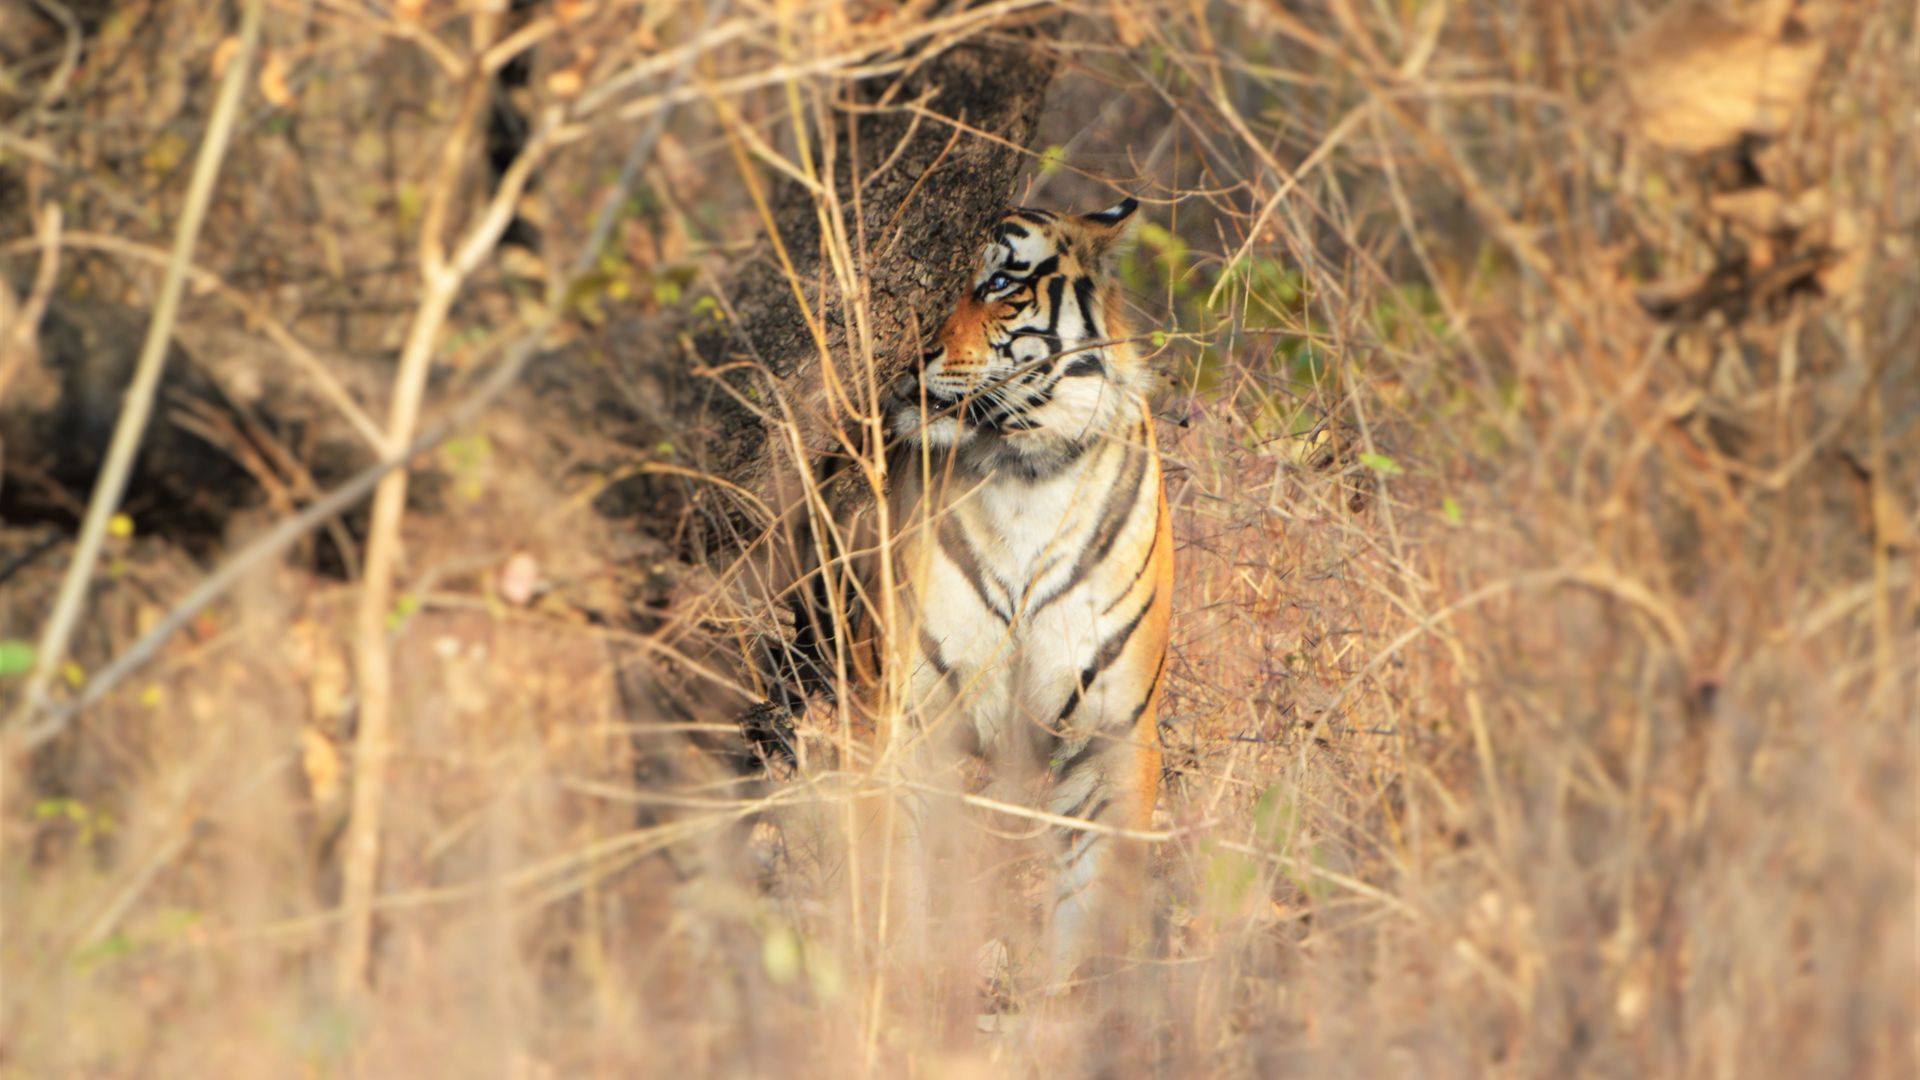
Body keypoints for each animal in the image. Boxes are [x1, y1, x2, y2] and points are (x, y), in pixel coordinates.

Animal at [779, 197, 1172, 996]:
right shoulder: (903, 718)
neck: (1027, 474)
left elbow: (1090, 904)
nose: (904, 356)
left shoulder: (1111, 736)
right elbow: (900, 882)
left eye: (998, 283)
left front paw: (1069, 1008)